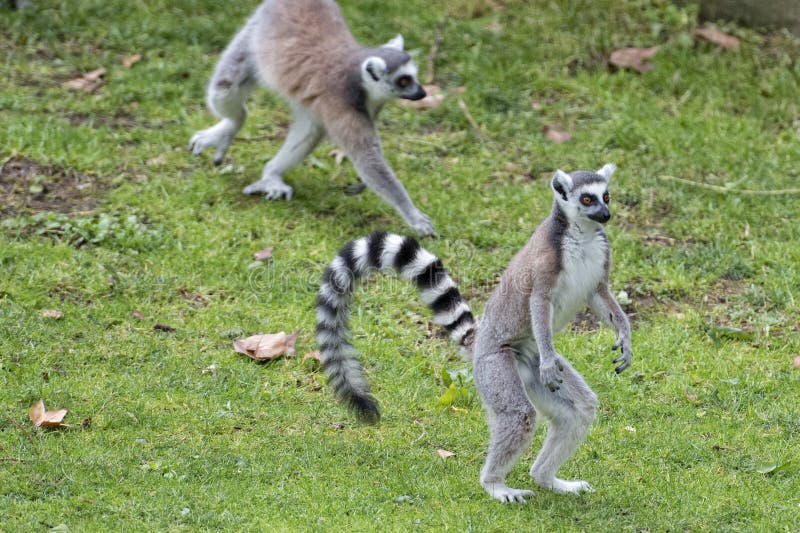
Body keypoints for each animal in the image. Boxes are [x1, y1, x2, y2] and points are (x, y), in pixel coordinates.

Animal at [189, 0, 435, 237]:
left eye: (414, 78)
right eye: (403, 81)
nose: (422, 93)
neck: (359, 81)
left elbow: (313, 133)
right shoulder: (341, 105)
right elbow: (368, 158)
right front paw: (412, 214)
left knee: (308, 131)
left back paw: (271, 174)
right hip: (253, 34)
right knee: (226, 87)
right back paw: (233, 123)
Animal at [314, 164, 632, 503]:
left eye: (606, 196)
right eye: (587, 199)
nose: (606, 214)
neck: (582, 235)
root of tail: (480, 343)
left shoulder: (600, 265)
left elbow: (601, 295)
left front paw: (625, 337)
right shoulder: (546, 263)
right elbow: (537, 302)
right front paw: (550, 360)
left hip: (530, 373)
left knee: (579, 410)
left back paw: (547, 479)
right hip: (495, 366)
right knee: (518, 414)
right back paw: (494, 484)